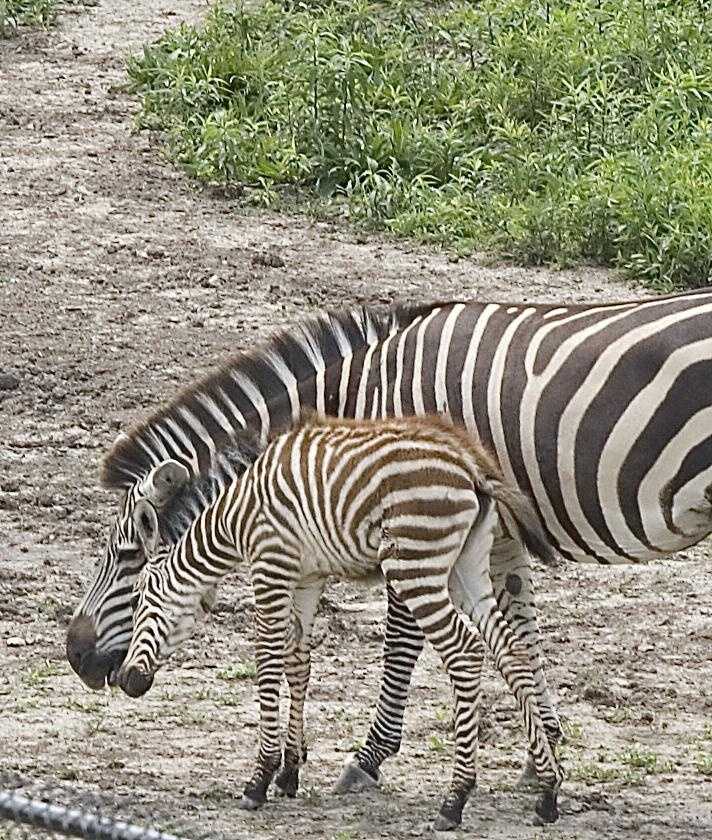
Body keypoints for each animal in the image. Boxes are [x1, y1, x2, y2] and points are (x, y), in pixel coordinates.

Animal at [116, 416, 563, 829]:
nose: (126, 680)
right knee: (511, 651)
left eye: (137, 599)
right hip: (466, 567)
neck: (235, 514)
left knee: (465, 652)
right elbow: (298, 663)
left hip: (415, 565)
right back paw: (547, 791)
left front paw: (259, 779)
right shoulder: (307, 578)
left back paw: (455, 800)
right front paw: (289, 771)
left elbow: (267, 662)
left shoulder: (270, 566)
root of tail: (470, 464)